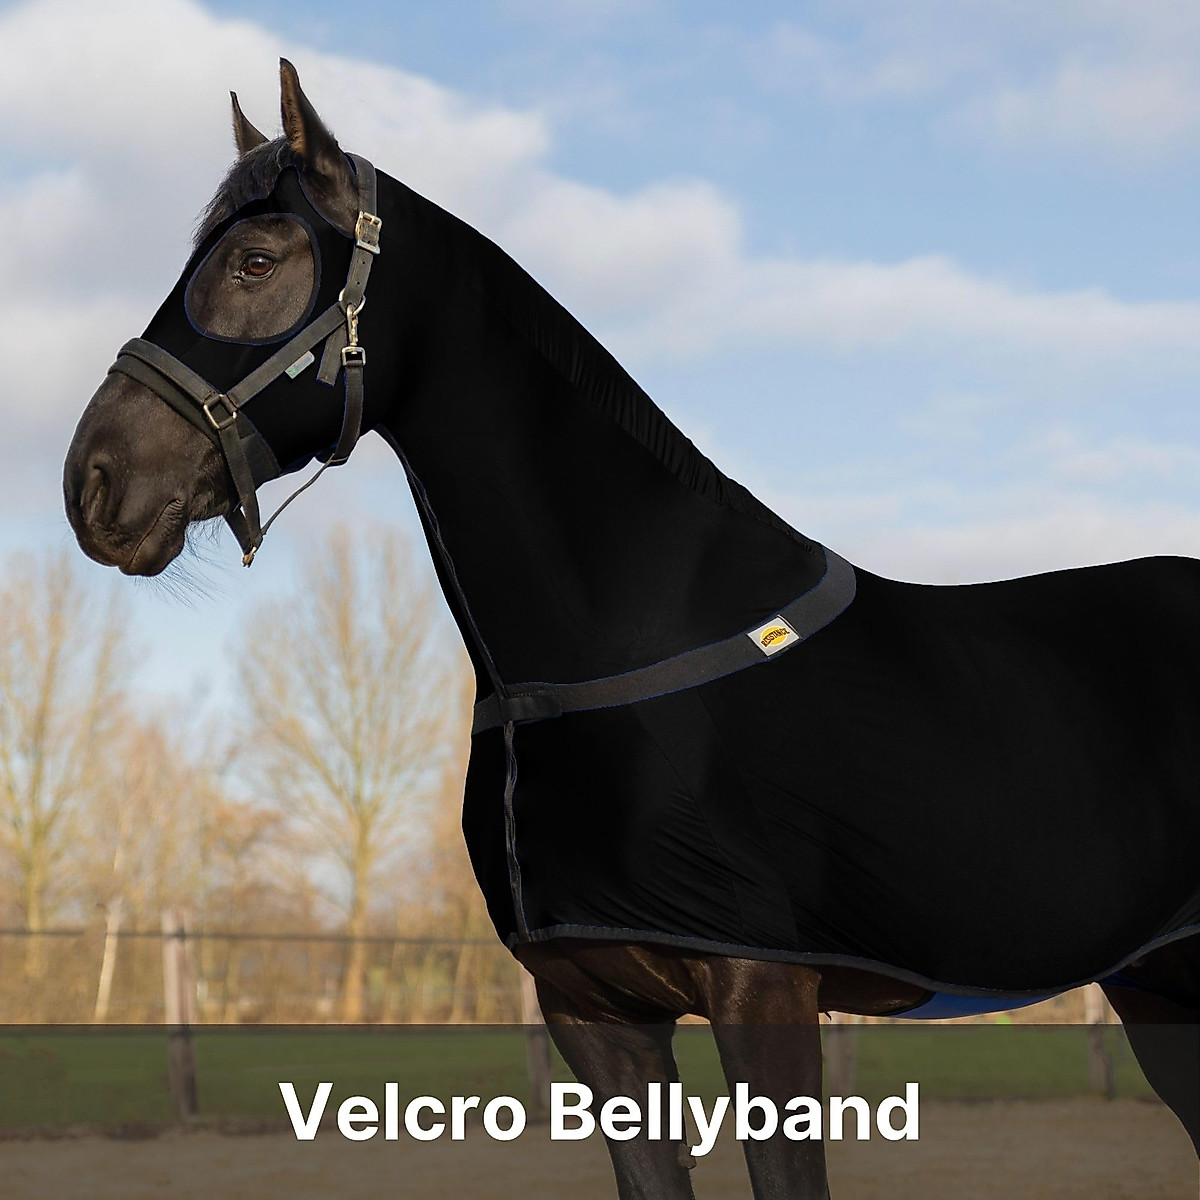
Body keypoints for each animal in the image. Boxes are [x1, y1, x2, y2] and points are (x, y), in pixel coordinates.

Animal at [63, 61, 1200, 1198]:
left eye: (256, 260)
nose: (94, 483)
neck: (621, 645)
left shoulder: (764, 993)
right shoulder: (594, 1012)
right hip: (1158, 988)